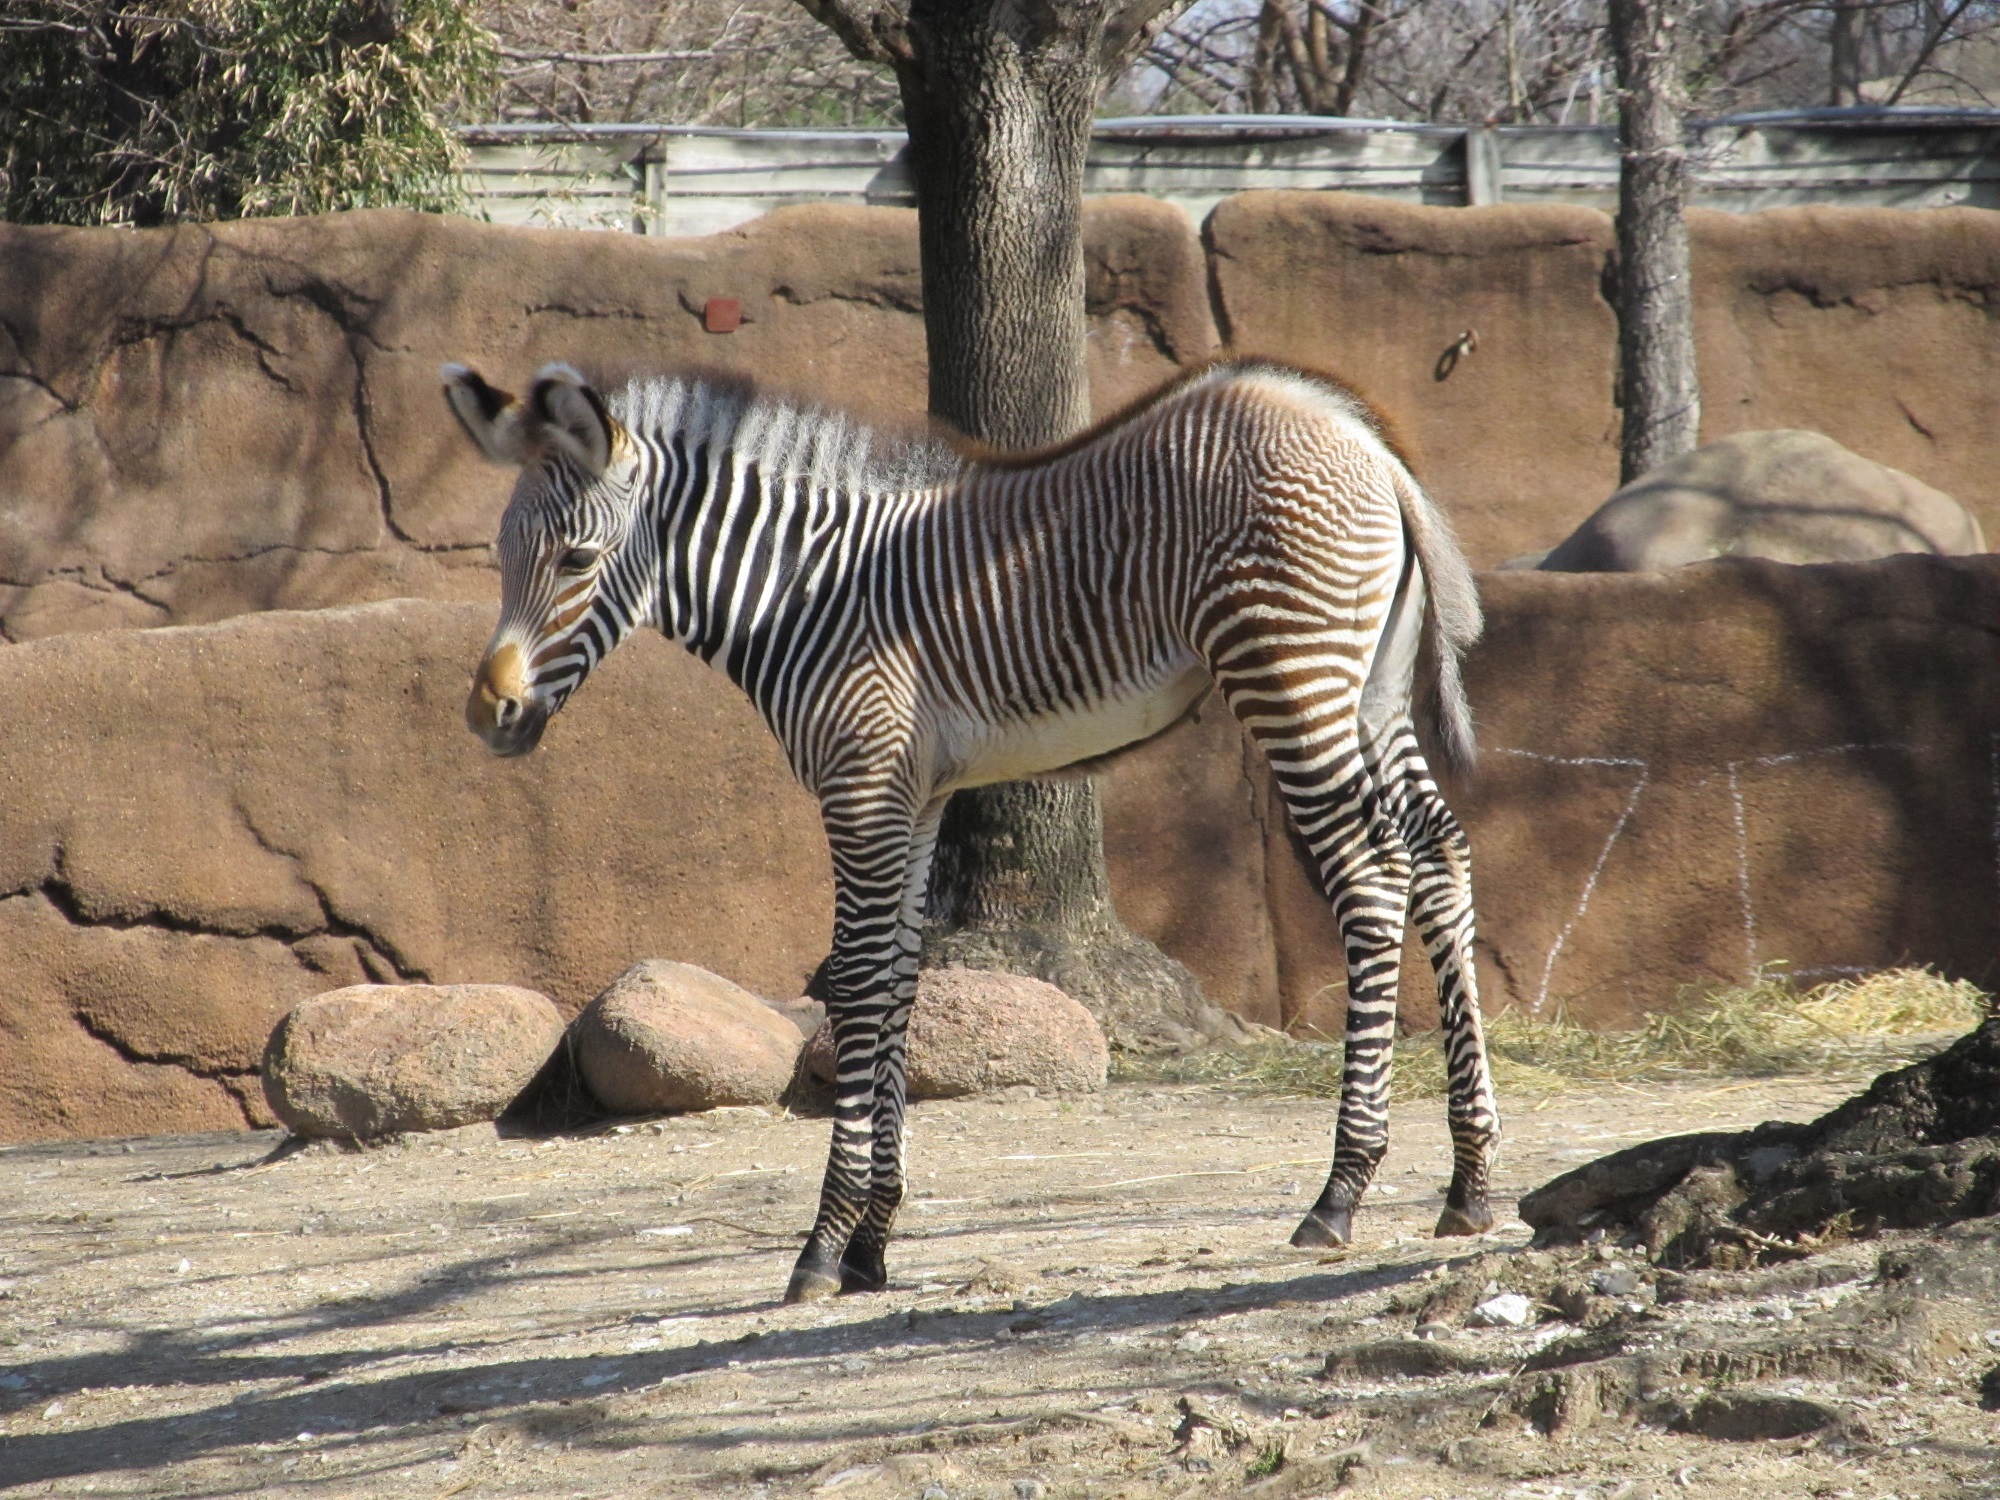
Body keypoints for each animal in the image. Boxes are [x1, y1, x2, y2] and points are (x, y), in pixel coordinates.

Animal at [443, 356, 1500, 1303]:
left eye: (578, 560)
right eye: (500, 555)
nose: (487, 715)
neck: (803, 594)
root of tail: (1359, 436)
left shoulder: (862, 788)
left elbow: (858, 988)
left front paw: (824, 1247)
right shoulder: (910, 800)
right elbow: (900, 982)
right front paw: (873, 1241)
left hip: (1291, 678)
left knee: (1373, 878)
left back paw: (1341, 1189)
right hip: (1369, 689)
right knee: (1441, 859)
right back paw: (1472, 1182)